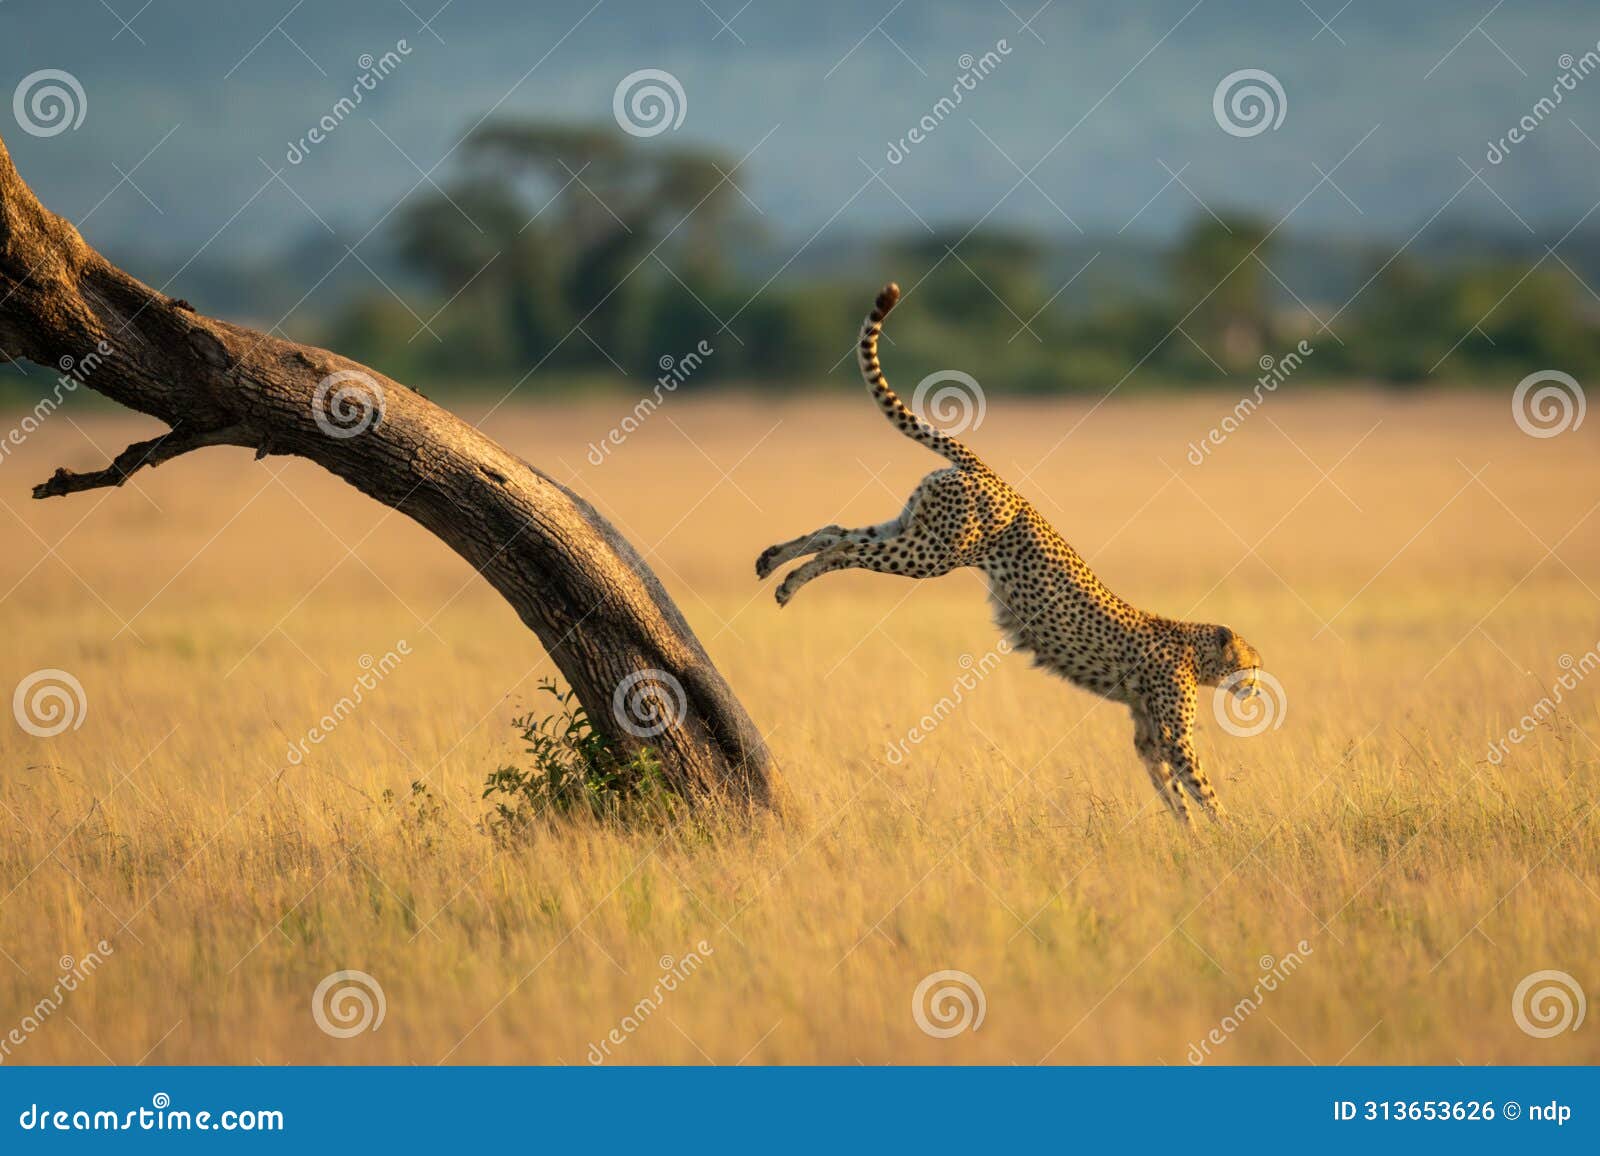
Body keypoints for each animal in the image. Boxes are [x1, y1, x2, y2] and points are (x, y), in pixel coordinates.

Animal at [755, 282, 1267, 824]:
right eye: (1252, 665)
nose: (1258, 687)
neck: (1195, 649)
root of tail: (995, 478)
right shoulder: (1171, 733)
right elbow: (1201, 787)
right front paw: (1227, 831)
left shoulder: (1147, 734)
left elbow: (1172, 792)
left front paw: (1190, 832)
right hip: (933, 553)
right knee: (844, 545)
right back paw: (788, 581)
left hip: (913, 527)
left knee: (833, 531)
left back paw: (772, 564)